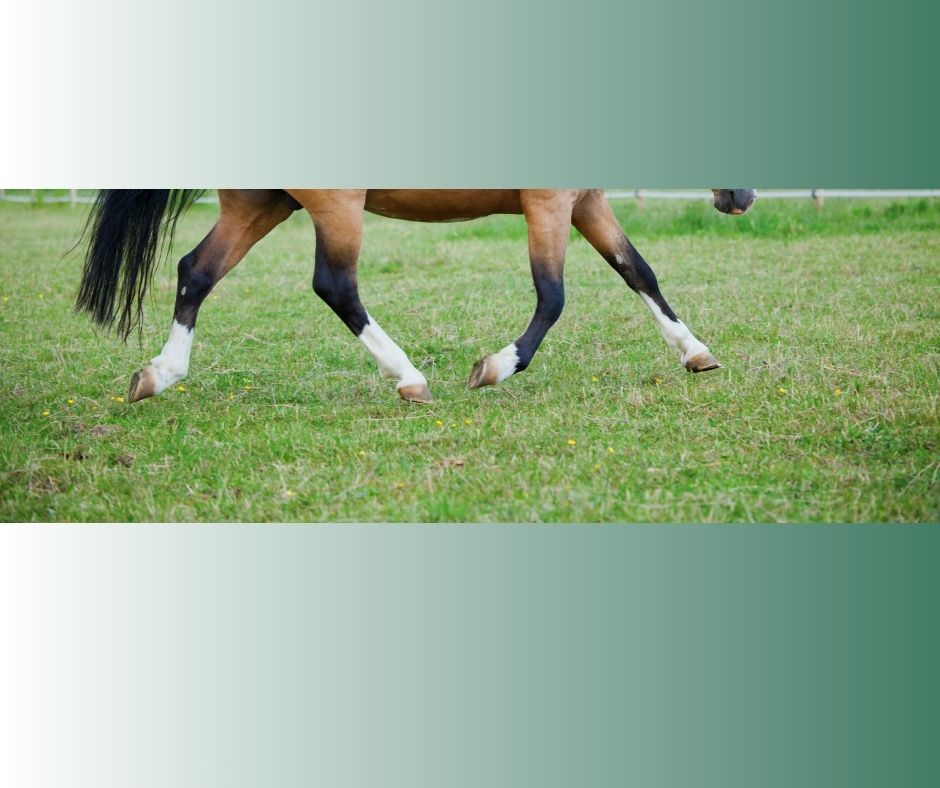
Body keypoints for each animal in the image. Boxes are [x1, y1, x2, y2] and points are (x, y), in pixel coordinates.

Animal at [76, 189, 756, 404]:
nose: (743, 198)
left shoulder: (584, 200)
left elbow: (638, 272)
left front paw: (695, 352)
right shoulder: (548, 202)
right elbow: (553, 297)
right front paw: (495, 367)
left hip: (260, 202)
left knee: (196, 271)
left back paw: (160, 375)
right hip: (335, 207)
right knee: (336, 286)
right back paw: (409, 377)